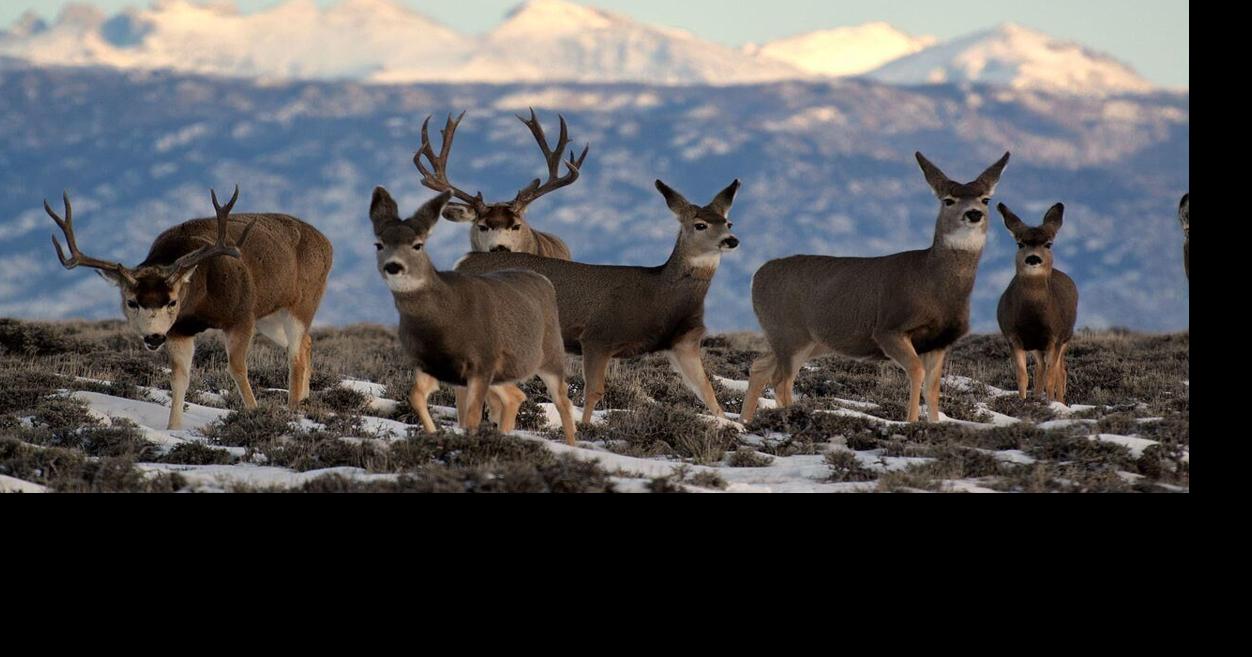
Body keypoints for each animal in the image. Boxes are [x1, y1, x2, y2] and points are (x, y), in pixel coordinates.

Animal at [43, 186, 333, 430]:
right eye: (131, 301)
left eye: (172, 300)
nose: (153, 336)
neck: (199, 298)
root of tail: (327, 244)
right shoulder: (179, 330)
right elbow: (179, 377)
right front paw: (173, 429)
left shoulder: (241, 315)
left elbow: (237, 368)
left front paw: (254, 412)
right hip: (269, 317)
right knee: (306, 343)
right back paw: (305, 402)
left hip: (301, 303)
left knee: (295, 354)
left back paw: (294, 409)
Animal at [369, 187, 577, 445]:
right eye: (379, 244)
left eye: (418, 245)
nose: (393, 266)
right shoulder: (430, 363)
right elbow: (416, 396)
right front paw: (437, 436)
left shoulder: (480, 364)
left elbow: (473, 415)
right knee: (514, 396)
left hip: (549, 355)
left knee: (561, 399)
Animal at [455, 179, 741, 424]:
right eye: (700, 225)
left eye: (728, 222)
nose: (732, 240)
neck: (659, 295)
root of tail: (465, 261)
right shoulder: (598, 335)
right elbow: (593, 391)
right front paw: (585, 428)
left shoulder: (683, 341)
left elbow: (706, 389)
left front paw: (732, 425)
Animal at [740, 151, 1011, 425]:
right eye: (948, 200)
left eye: (986, 199)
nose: (974, 214)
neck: (933, 283)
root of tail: (756, 276)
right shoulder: (889, 328)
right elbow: (916, 371)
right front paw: (911, 422)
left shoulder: (939, 341)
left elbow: (933, 387)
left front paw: (935, 424)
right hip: (790, 332)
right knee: (781, 379)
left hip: (804, 340)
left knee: (760, 367)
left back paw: (745, 421)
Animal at [996, 203, 1079, 404]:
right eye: (1020, 243)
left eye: (1048, 244)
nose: (1033, 258)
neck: (1033, 317)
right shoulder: (1014, 337)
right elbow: (1022, 375)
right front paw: (1023, 400)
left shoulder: (1054, 337)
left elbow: (1052, 375)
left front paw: (1051, 403)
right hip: (1036, 347)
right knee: (1040, 368)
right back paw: (1037, 396)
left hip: (1066, 337)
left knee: (1060, 371)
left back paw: (1060, 401)